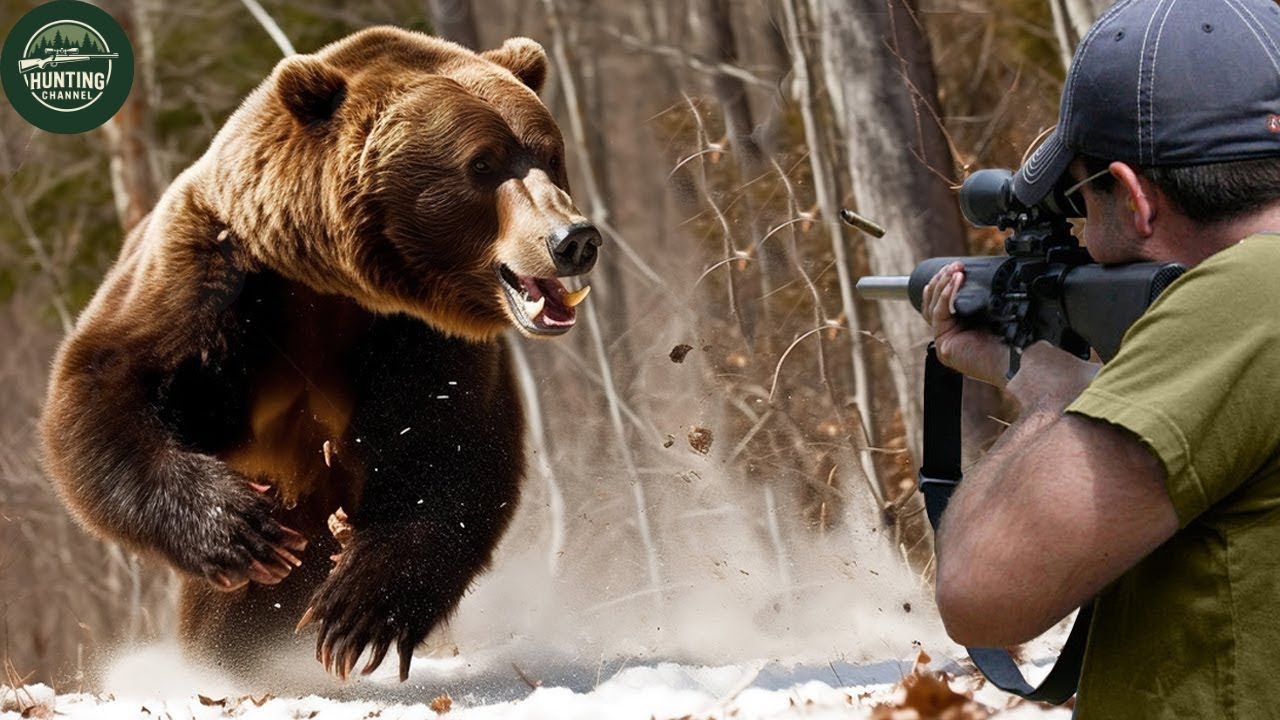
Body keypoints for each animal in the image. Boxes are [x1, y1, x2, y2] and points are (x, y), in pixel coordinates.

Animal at [38, 26, 600, 682]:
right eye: (481, 163)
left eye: (549, 154)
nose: (573, 239)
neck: (334, 285)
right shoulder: (218, 280)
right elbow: (106, 385)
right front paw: (238, 527)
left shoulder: (419, 339)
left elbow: (450, 455)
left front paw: (355, 615)